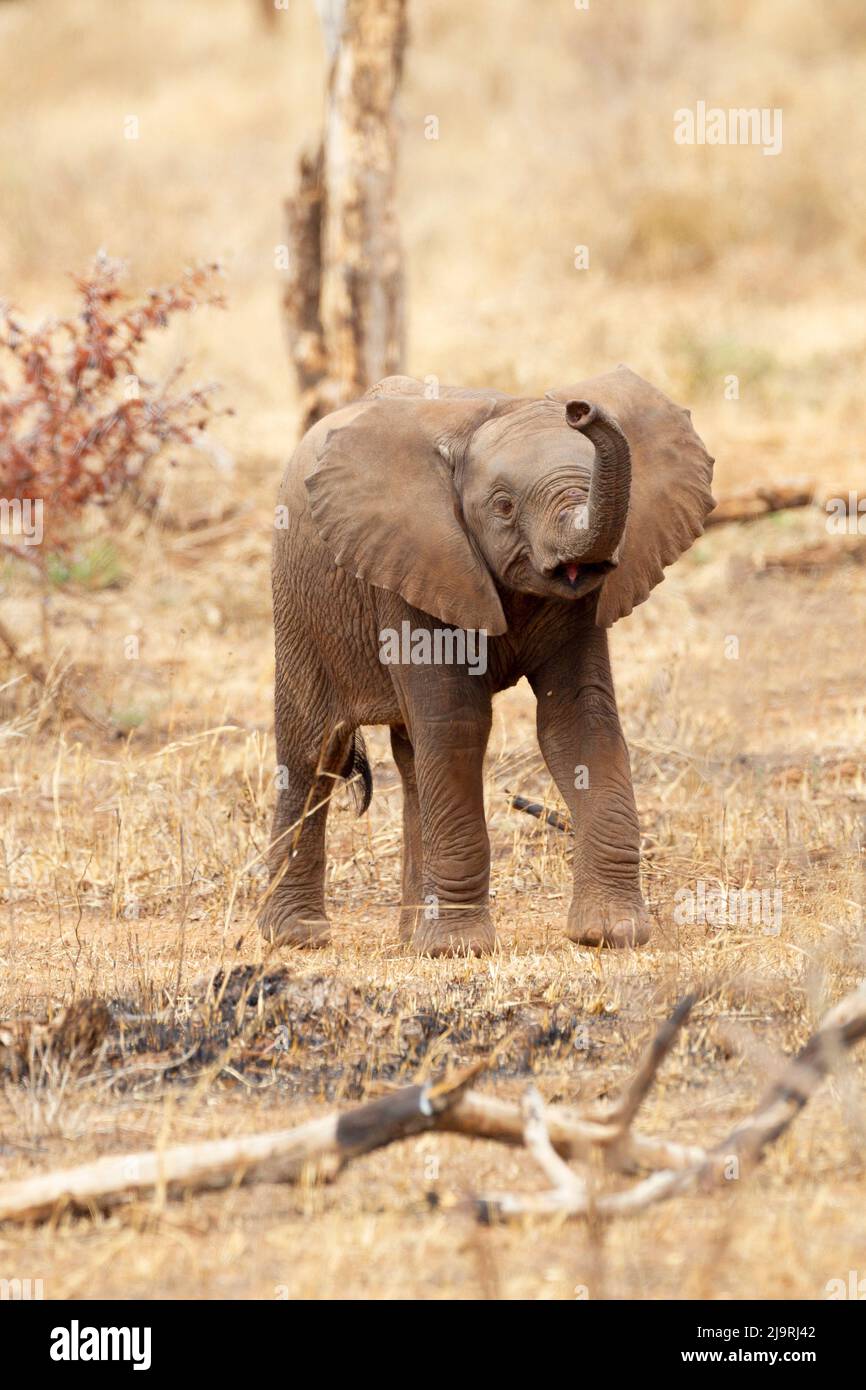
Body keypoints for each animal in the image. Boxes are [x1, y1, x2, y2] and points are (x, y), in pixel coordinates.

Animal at [261, 366, 714, 956]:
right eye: (503, 506)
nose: (580, 409)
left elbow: (578, 721)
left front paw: (609, 934)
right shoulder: (415, 565)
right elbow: (458, 722)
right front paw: (459, 949)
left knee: (411, 759)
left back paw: (410, 939)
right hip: (297, 602)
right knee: (314, 752)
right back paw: (296, 937)